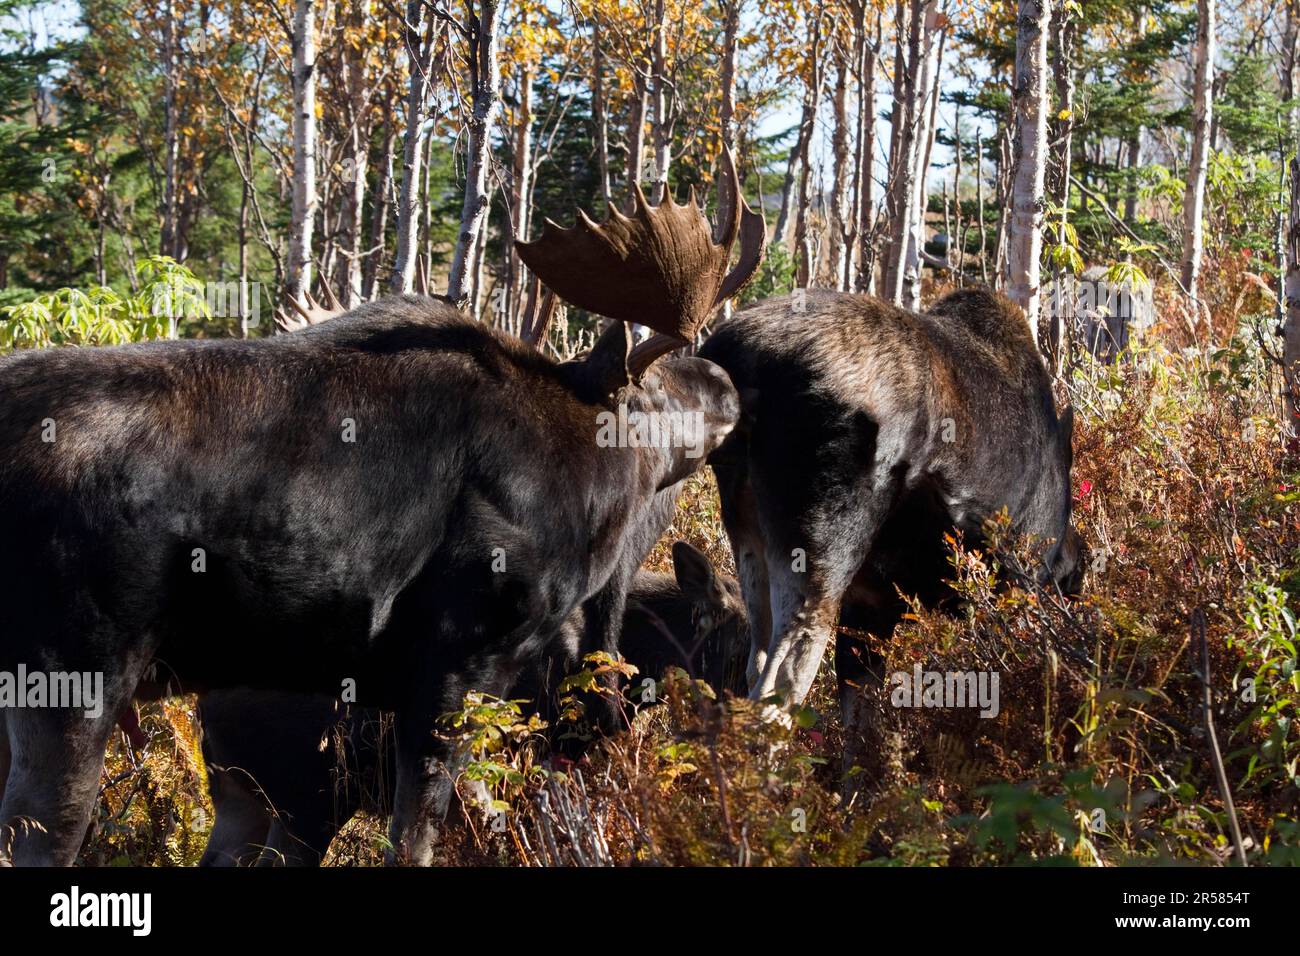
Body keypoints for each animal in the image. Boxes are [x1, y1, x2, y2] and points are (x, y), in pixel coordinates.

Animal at [697, 286, 1085, 758]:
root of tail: (737, 359)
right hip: (824, 550)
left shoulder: (872, 607)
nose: (1079, 571)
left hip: (747, 533)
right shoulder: (1018, 582)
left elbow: (862, 733)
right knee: (780, 687)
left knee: (754, 666)